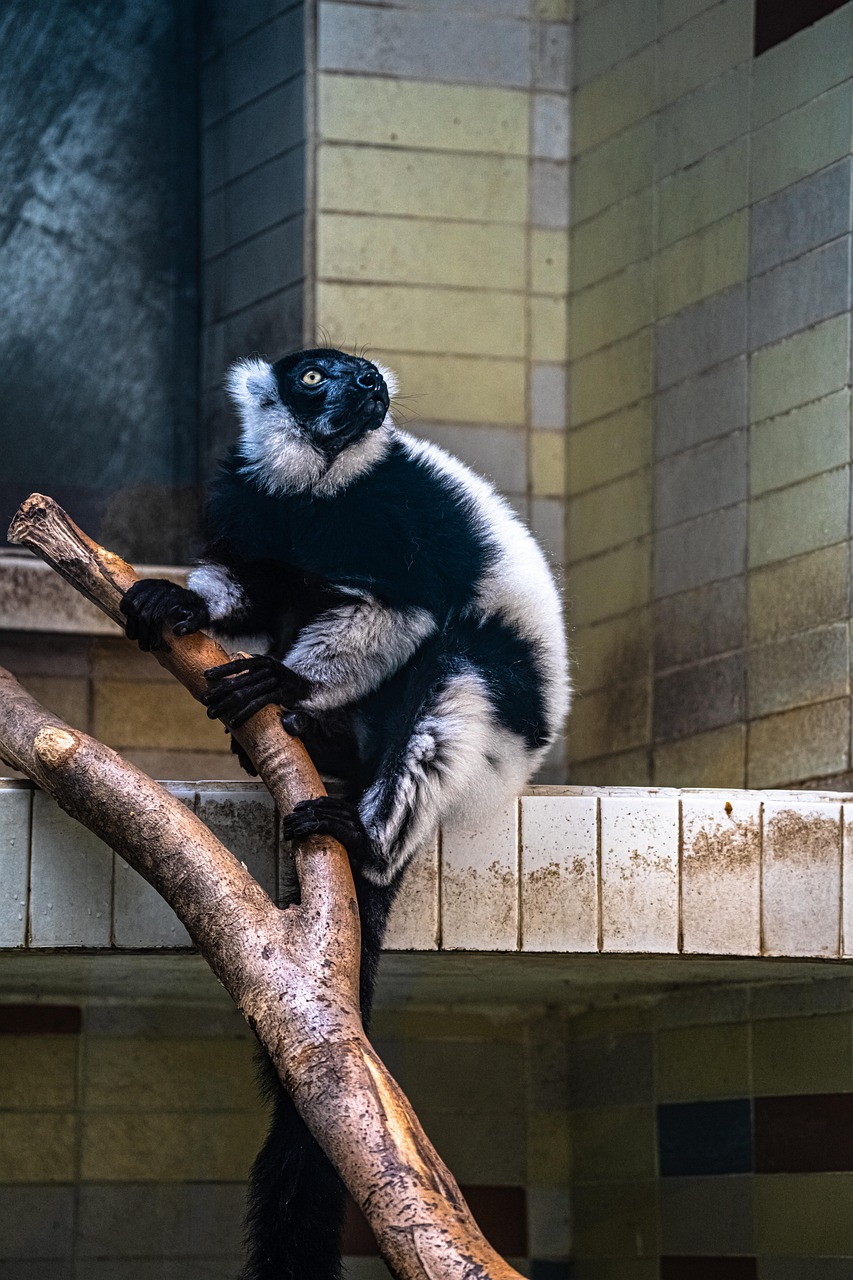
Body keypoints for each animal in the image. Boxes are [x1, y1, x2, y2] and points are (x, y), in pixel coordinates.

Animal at [120, 347, 570, 1280]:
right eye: (316, 376)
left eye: (366, 377)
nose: (368, 386)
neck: (322, 487)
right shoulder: (252, 495)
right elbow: (253, 579)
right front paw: (181, 606)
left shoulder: (398, 511)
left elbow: (402, 604)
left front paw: (284, 680)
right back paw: (319, 746)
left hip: (505, 729)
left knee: (455, 663)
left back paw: (360, 826)